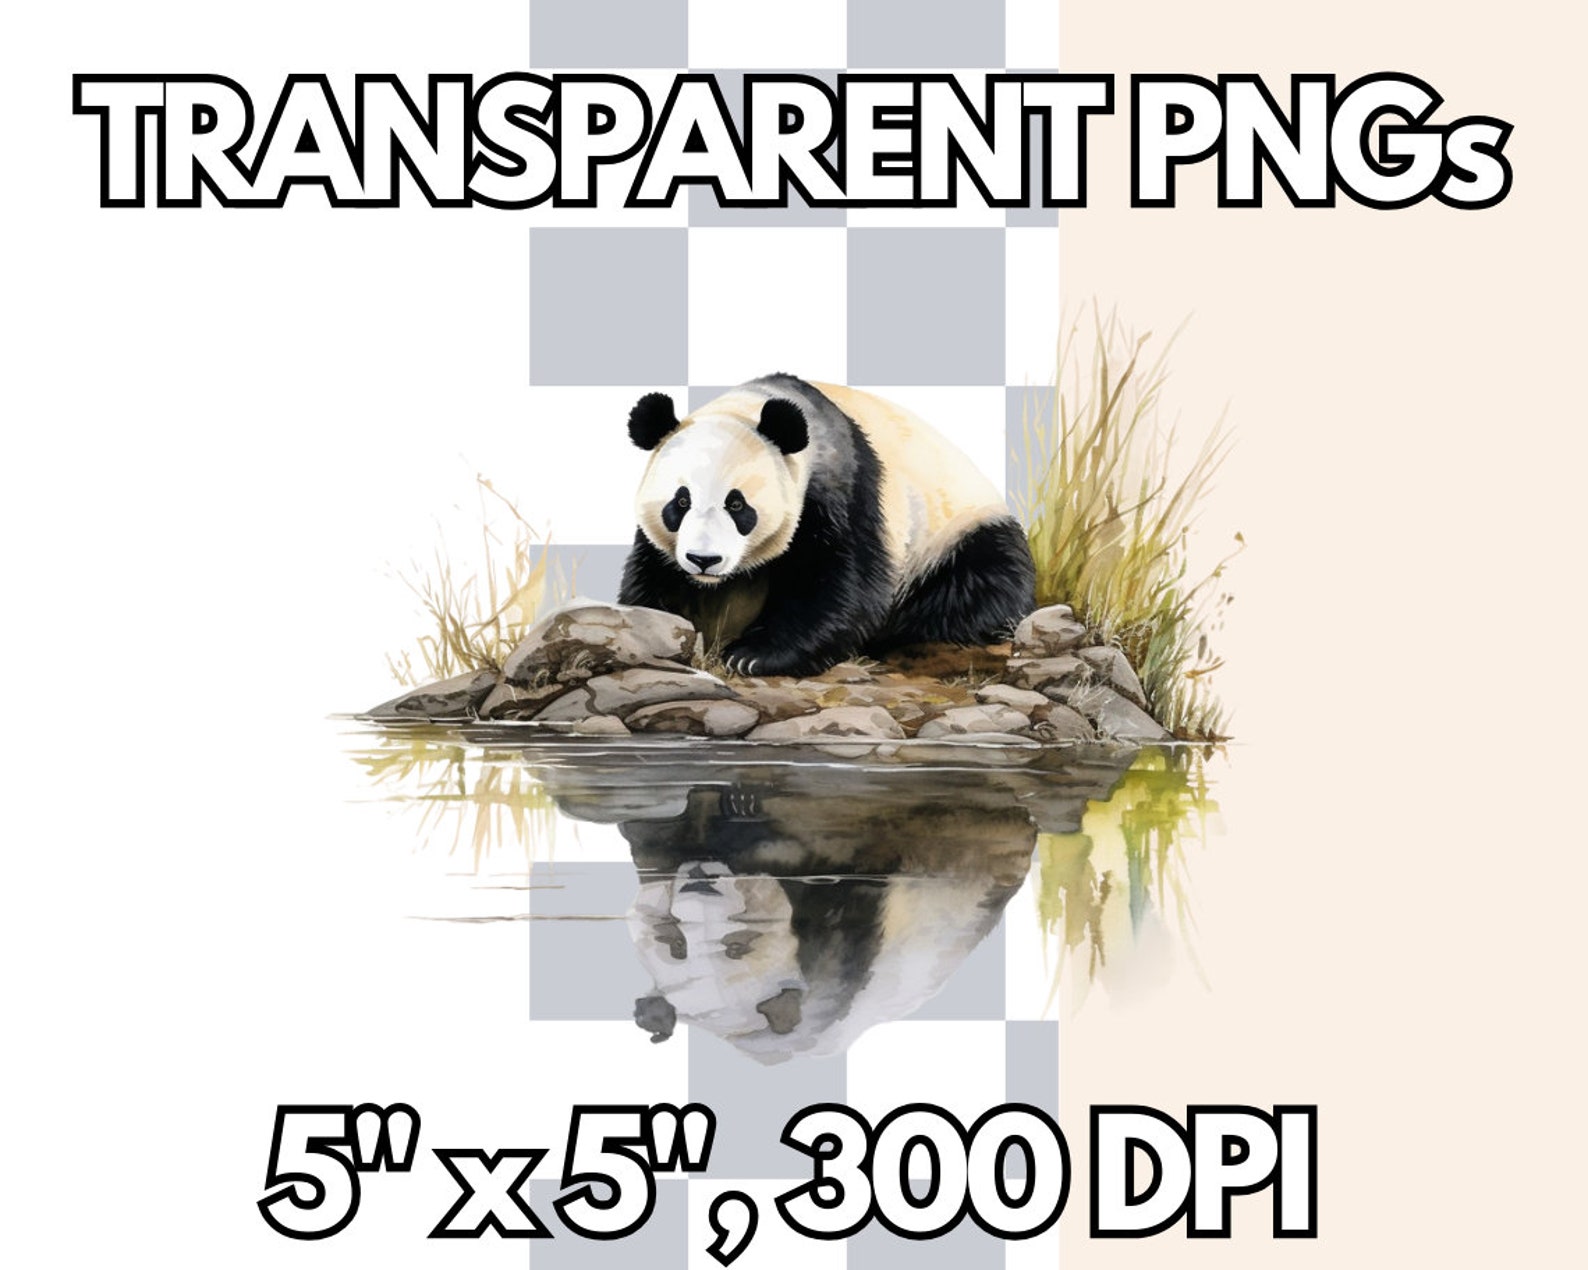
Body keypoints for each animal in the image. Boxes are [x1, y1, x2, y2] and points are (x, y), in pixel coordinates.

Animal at [618, 373, 1036, 676]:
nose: (703, 560)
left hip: (956, 534)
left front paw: (754, 656)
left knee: (978, 584)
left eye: (737, 504)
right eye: (681, 502)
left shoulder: (842, 490)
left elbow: (841, 582)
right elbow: (655, 579)